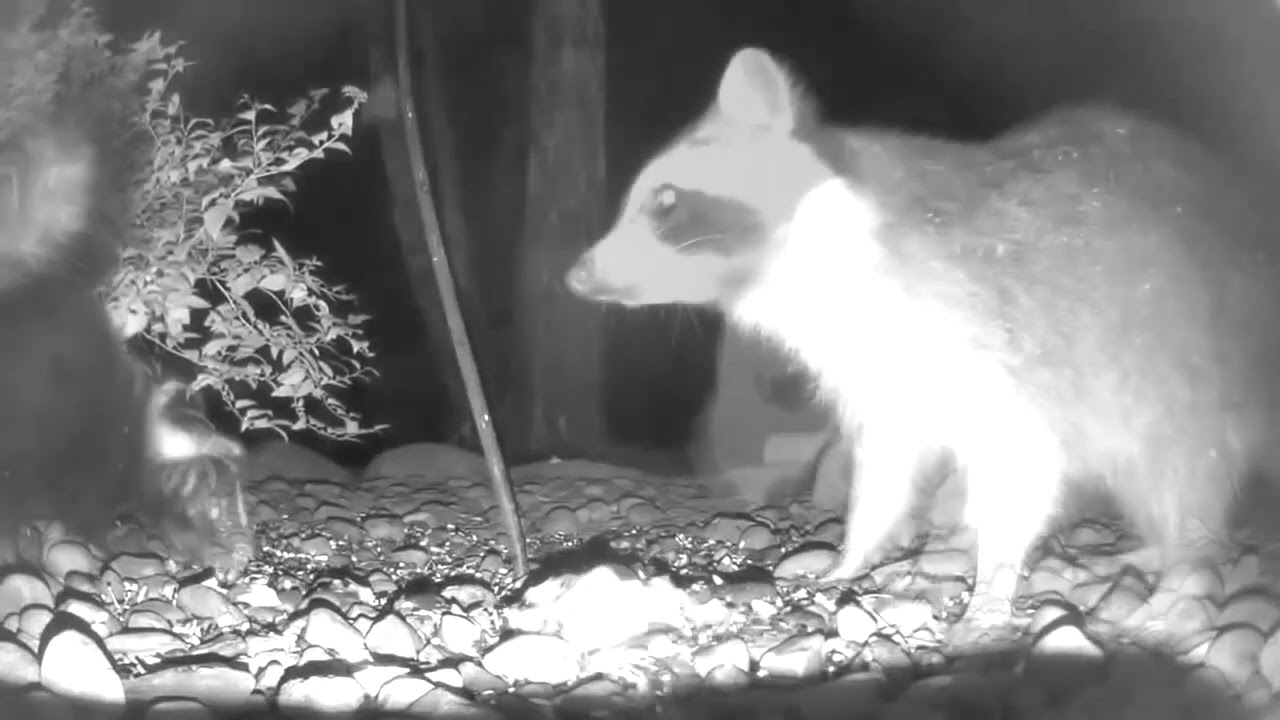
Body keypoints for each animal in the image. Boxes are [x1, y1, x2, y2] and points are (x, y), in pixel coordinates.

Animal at [565, 47, 1280, 631]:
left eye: (663, 199)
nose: (575, 275)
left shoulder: (993, 340)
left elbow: (1021, 468)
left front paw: (994, 582)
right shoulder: (882, 379)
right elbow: (885, 470)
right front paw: (854, 553)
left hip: (1180, 371)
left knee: (1182, 480)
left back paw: (1181, 567)